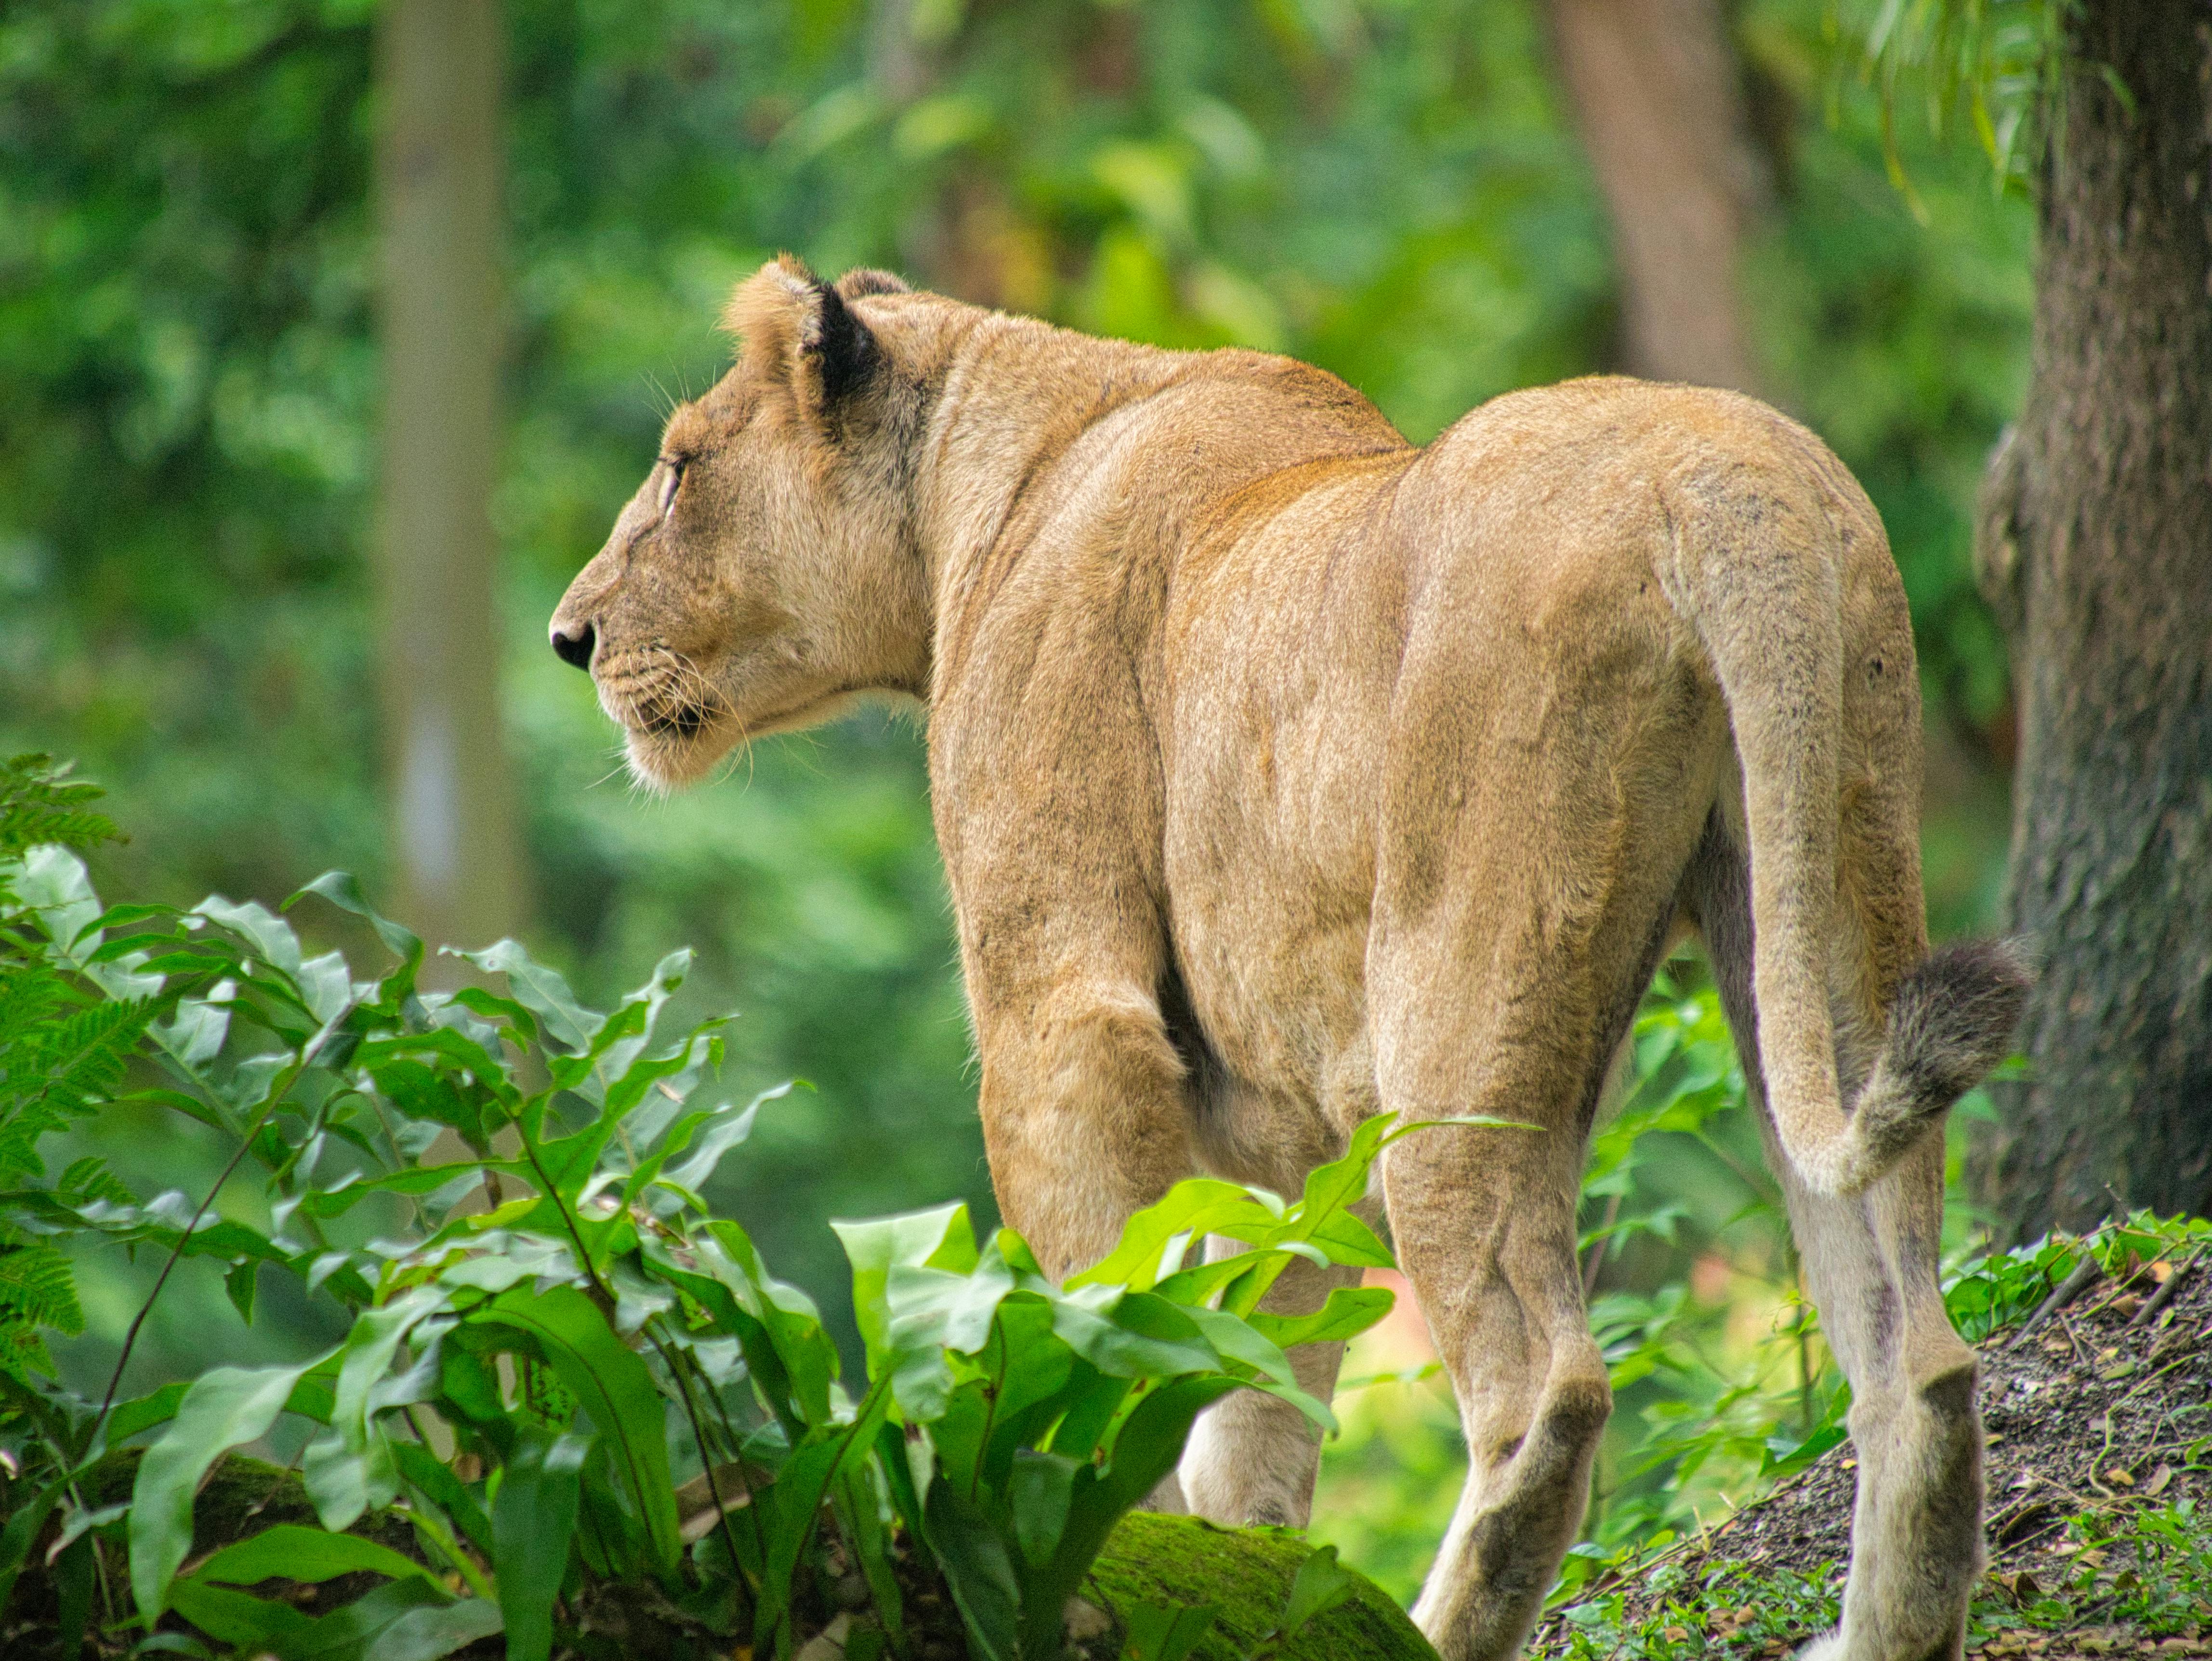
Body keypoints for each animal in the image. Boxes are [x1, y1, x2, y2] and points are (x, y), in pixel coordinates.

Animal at [550, 257, 2029, 1661]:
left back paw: (1428, 1625)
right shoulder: (1279, 1130)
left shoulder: (1064, 1004)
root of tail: (1735, 478)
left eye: (679, 468)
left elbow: (1104, 1321)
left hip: (1455, 1007)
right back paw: (1876, 1630)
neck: (983, 480)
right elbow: (1250, 1381)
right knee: (1918, 1344)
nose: (570, 638)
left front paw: (1100, 1547)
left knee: (1546, 1387)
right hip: (1823, 904)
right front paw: (1241, 1569)